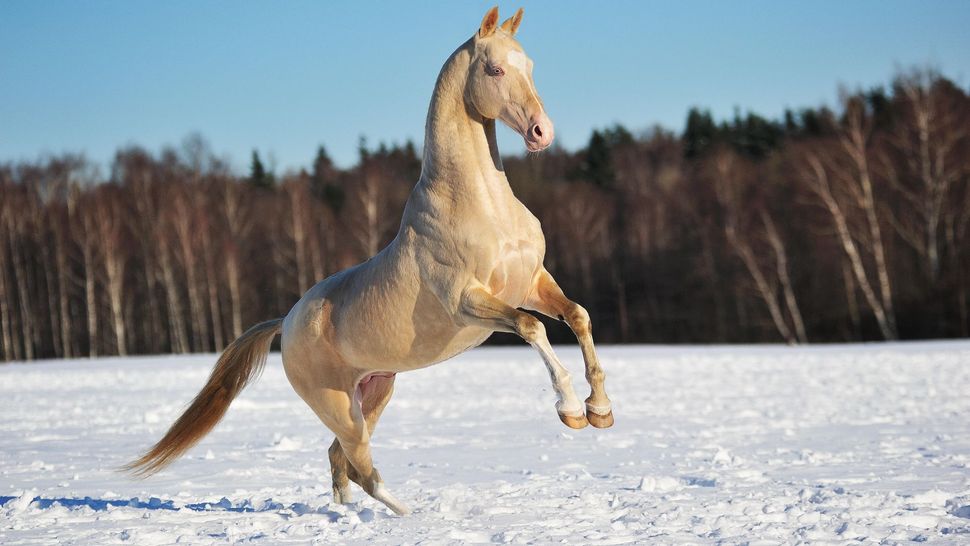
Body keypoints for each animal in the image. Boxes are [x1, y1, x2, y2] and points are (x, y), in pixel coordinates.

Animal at [126, 6, 613, 516]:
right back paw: (407, 516)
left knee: (338, 458)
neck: (482, 205)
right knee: (361, 467)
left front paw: (600, 411)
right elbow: (532, 327)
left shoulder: (534, 283)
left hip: (375, 391)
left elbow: (577, 316)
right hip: (339, 406)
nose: (543, 133)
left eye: (530, 66)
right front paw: (570, 410)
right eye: (495, 69)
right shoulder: (468, 301)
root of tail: (287, 321)